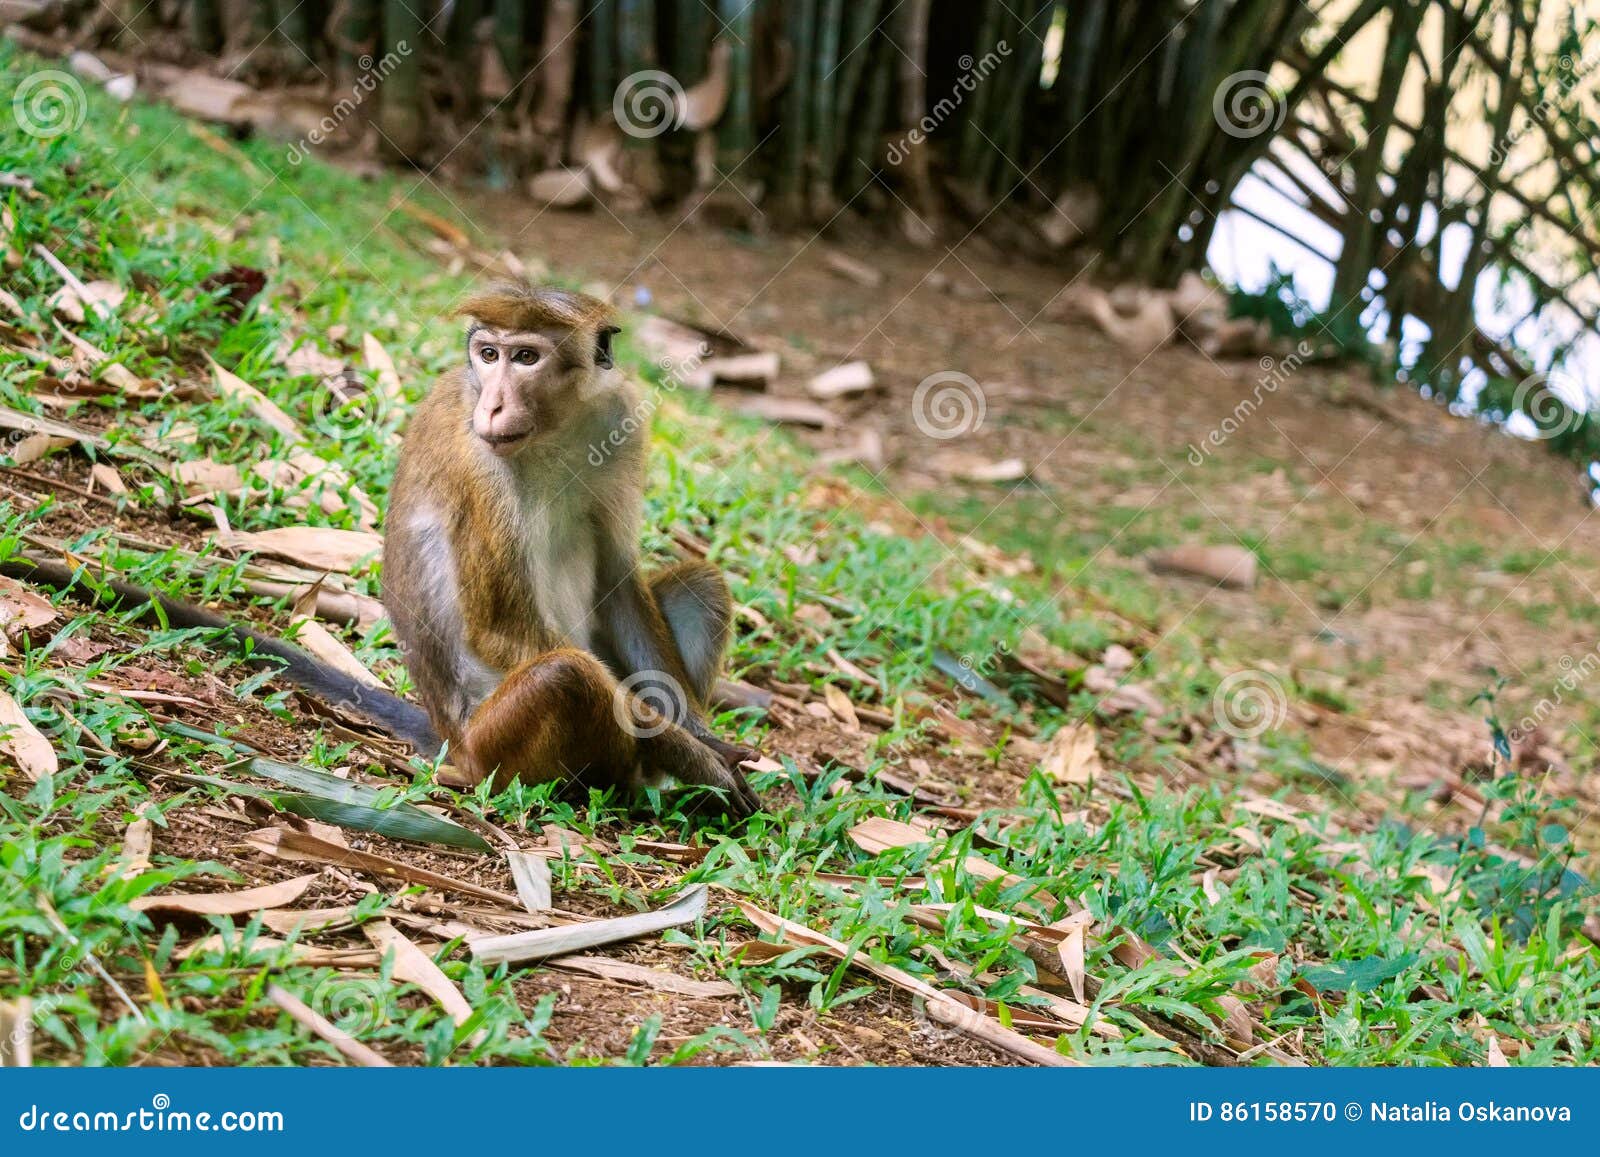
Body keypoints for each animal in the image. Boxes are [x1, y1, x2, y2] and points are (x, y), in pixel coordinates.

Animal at [379, 280, 761, 816]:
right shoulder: (476, 463)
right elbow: (504, 631)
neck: (552, 429)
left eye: (525, 357)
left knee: (701, 585)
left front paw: (701, 736)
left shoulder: (619, 416)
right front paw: (694, 756)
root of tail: (453, 745)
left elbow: (617, 579)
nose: (493, 407)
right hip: (491, 751)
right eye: (489, 354)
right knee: (565, 674)